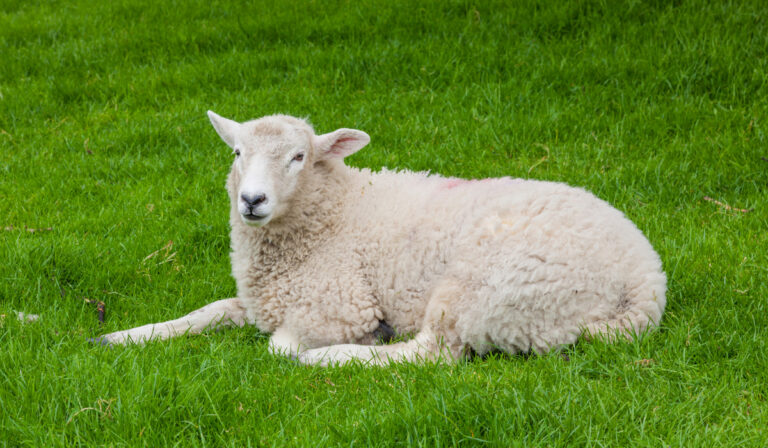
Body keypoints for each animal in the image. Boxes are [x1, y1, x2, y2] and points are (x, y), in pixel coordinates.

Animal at [97, 112, 667, 366]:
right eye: (237, 153)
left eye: (299, 157)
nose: (251, 201)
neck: (334, 211)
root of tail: (646, 281)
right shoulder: (265, 298)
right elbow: (207, 312)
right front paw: (125, 336)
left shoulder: (339, 304)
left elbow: (278, 345)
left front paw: (354, 342)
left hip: (491, 287)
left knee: (432, 354)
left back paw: (334, 358)